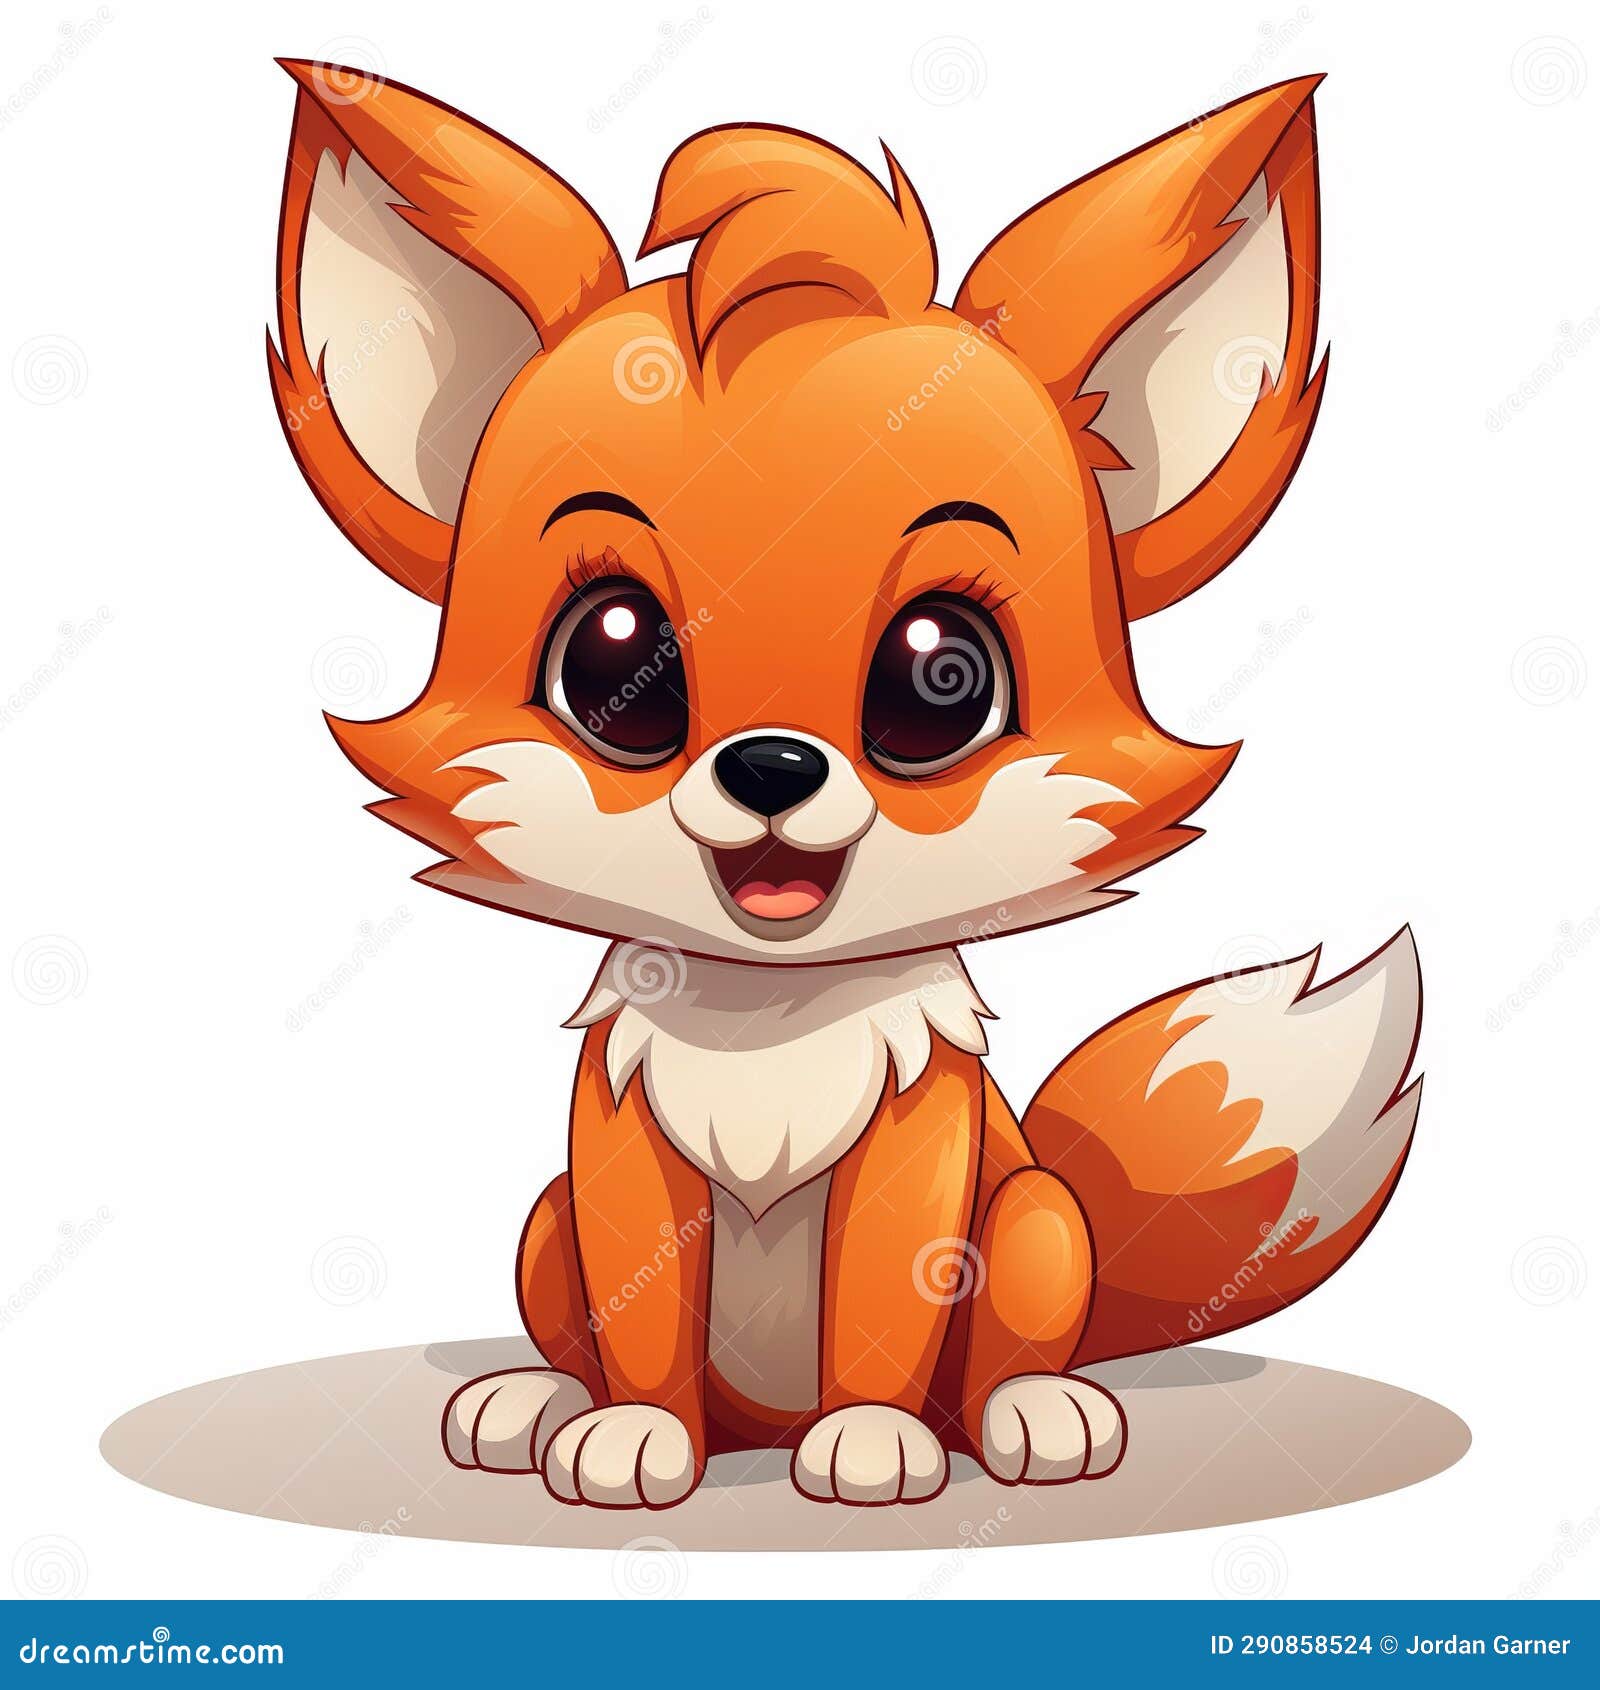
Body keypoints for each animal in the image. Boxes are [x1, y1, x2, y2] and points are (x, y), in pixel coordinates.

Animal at [267, 61, 1423, 1509]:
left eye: (938, 677)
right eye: (612, 661)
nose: (771, 761)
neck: (770, 1023)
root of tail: (752, 1423)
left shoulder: (921, 1147)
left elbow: (885, 1288)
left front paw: (871, 1438)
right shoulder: (619, 1153)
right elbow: (641, 1307)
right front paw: (634, 1431)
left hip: (1035, 1218)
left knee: (1005, 1342)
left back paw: (1029, 1410)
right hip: (544, 1220)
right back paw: (546, 1400)